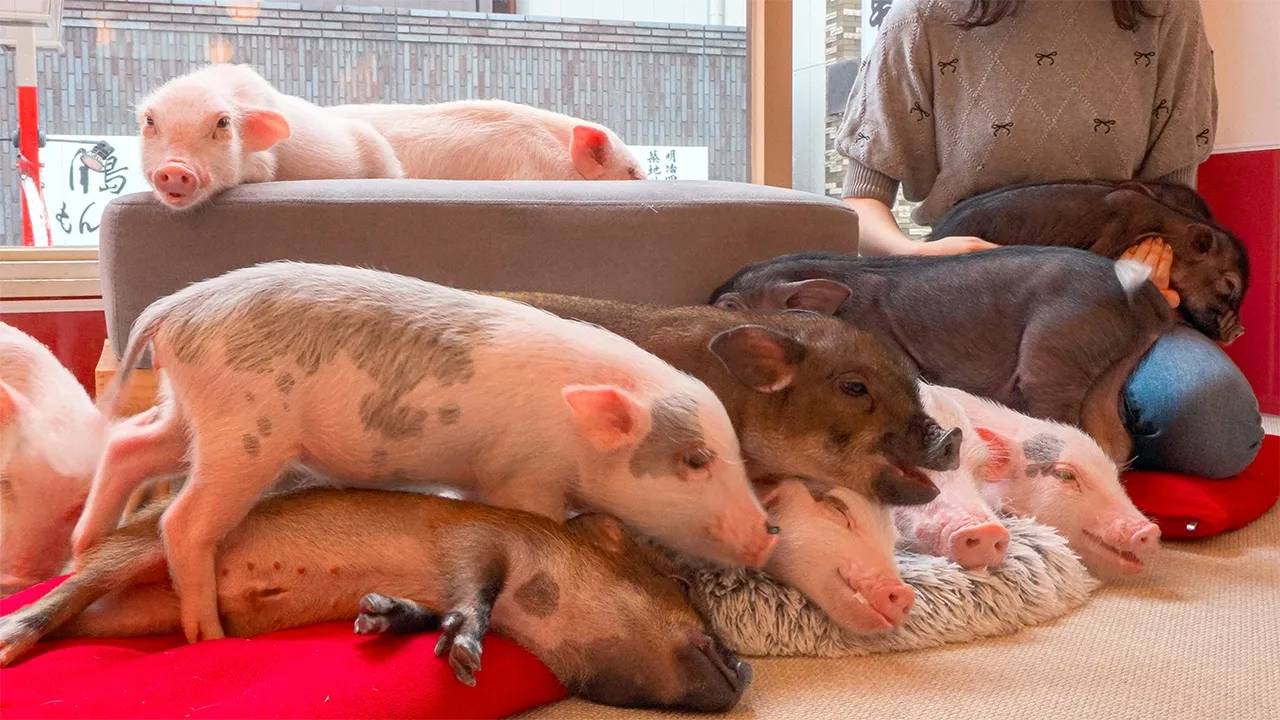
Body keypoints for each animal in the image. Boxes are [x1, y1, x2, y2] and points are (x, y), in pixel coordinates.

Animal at [2, 489, 753, 712]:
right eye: (679, 584)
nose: (746, 668)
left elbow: (423, 611)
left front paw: (374, 618)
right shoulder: (478, 543)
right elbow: (472, 599)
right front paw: (464, 659)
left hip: (135, 609)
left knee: (83, 618)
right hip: (135, 549)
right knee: (69, 587)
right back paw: (12, 639)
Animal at [72, 262, 775, 644]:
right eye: (695, 461)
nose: (768, 534)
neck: (575, 432)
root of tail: (176, 308)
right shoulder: (526, 476)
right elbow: (542, 520)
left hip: (191, 414)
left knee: (130, 444)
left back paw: (82, 546)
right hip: (245, 432)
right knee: (181, 520)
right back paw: (207, 633)